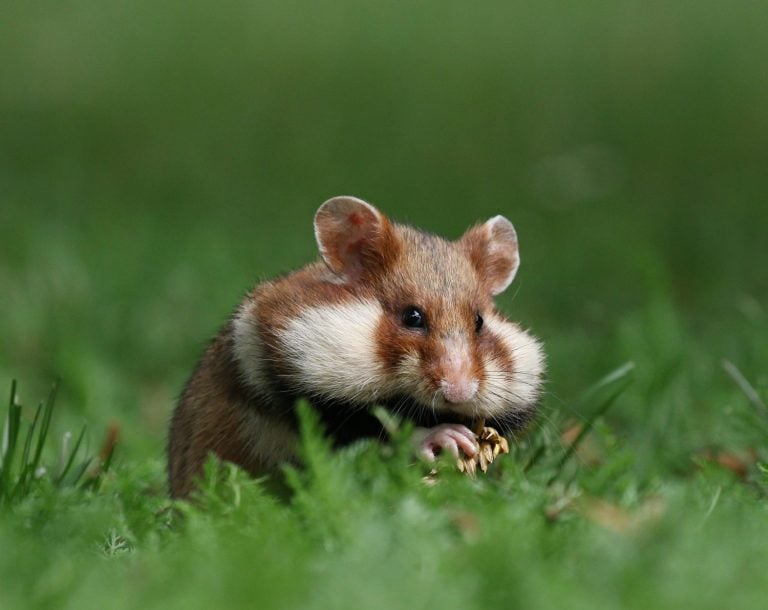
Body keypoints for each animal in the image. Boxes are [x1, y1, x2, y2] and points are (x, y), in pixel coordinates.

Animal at [168, 196, 544, 498]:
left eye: (479, 321)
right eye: (412, 316)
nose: (459, 392)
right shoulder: (303, 394)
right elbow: (374, 429)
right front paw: (453, 438)